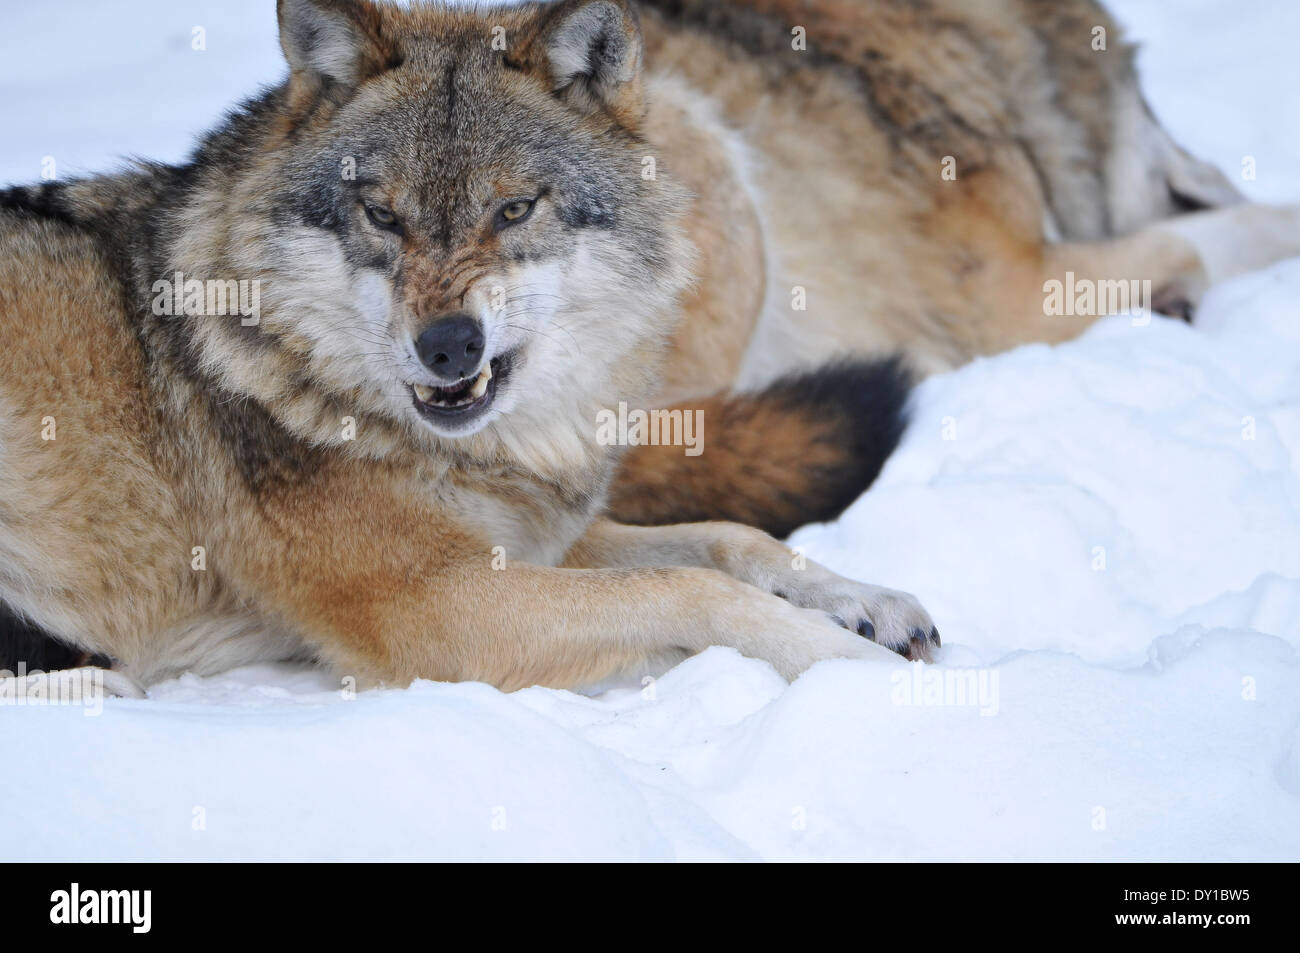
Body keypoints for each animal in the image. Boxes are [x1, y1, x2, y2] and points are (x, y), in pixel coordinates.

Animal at [0, 0, 1294, 691]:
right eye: (385, 216)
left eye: (513, 210)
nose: (444, 344)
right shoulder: (438, 606)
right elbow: (690, 582)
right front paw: (849, 666)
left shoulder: (525, 545)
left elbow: (721, 539)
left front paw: (861, 601)